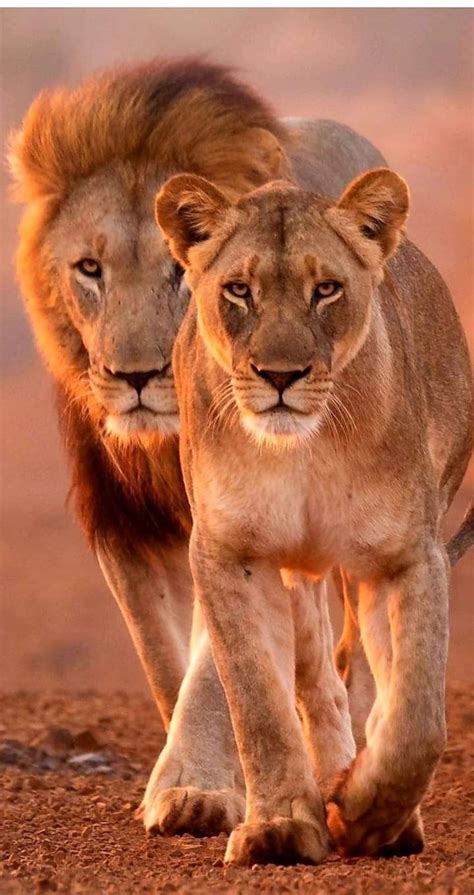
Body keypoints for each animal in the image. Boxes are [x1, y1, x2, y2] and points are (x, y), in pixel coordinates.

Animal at [11, 57, 402, 838]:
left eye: (179, 271)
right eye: (89, 268)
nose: (135, 376)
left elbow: (213, 671)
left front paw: (195, 789)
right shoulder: (121, 524)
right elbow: (166, 661)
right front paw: (203, 772)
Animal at [155, 167, 473, 865]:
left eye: (325, 289)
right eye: (238, 290)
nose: (281, 376)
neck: (303, 449)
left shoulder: (406, 554)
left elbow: (416, 718)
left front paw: (369, 815)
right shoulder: (230, 554)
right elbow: (258, 705)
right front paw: (280, 827)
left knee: (365, 675)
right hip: (296, 573)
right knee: (317, 680)